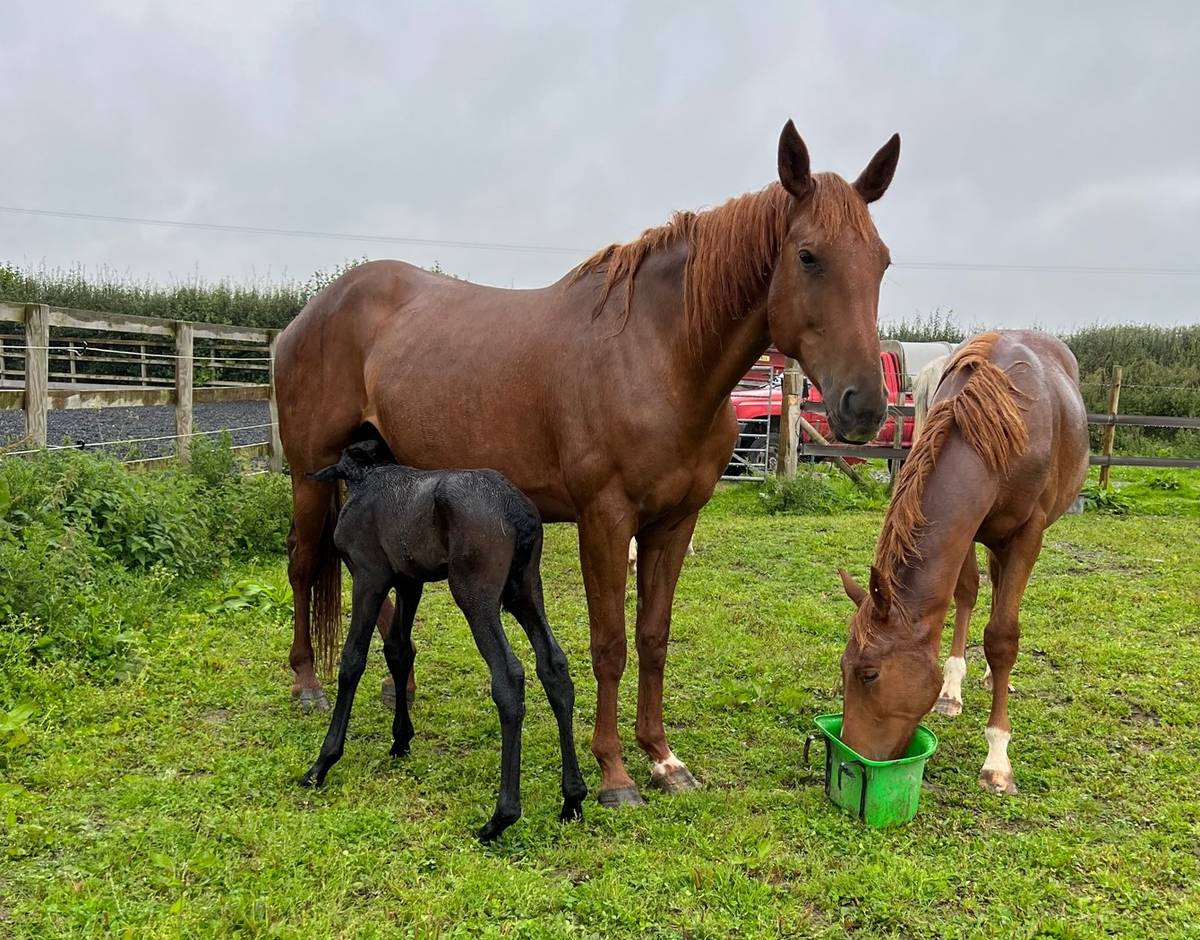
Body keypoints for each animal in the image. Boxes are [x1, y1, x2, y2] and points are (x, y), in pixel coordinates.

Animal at [298, 441, 586, 842]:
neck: (366, 478)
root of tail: (515, 506)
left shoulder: (369, 577)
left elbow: (352, 659)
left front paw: (322, 763)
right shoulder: (409, 581)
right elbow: (398, 650)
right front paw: (401, 738)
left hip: (474, 595)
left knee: (509, 675)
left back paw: (501, 817)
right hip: (525, 590)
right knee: (553, 665)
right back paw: (572, 797)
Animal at [836, 331, 1088, 795]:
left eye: (869, 675)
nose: (854, 756)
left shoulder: (1028, 534)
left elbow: (1003, 636)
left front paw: (998, 759)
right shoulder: (968, 527)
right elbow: (966, 594)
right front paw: (950, 688)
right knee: (981, 591)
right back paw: (958, 686)